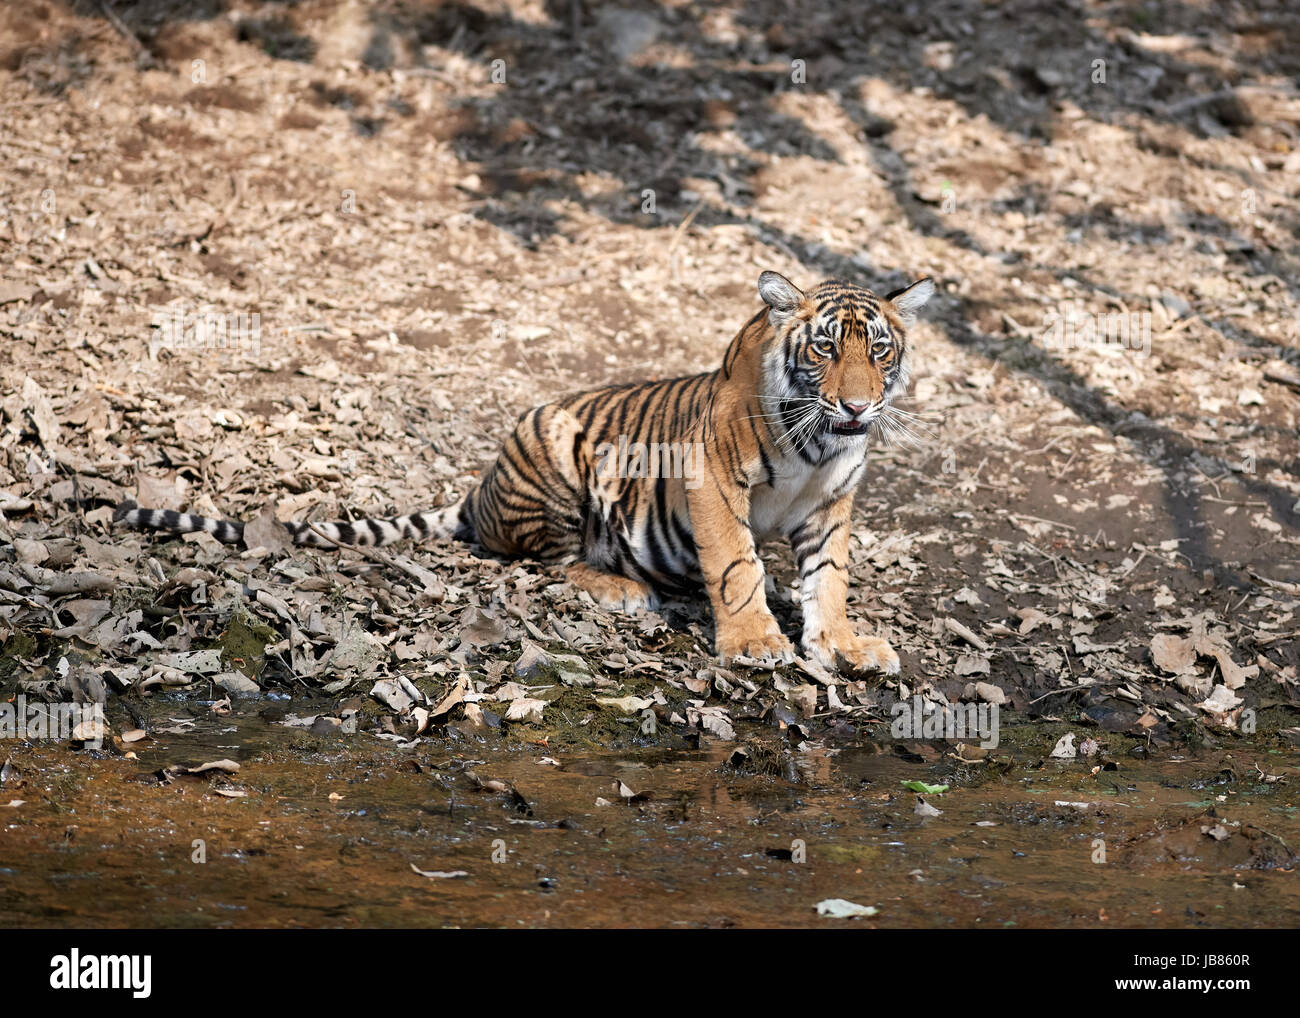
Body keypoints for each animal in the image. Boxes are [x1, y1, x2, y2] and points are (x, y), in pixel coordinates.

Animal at [115, 270, 934, 673]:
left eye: (879, 350)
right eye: (824, 348)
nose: (858, 405)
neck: (820, 445)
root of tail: (479, 489)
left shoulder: (832, 505)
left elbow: (828, 580)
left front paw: (843, 645)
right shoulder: (712, 477)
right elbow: (736, 565)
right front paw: (755, 642)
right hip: (559, 452)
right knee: (547, 563)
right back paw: (622, 589)